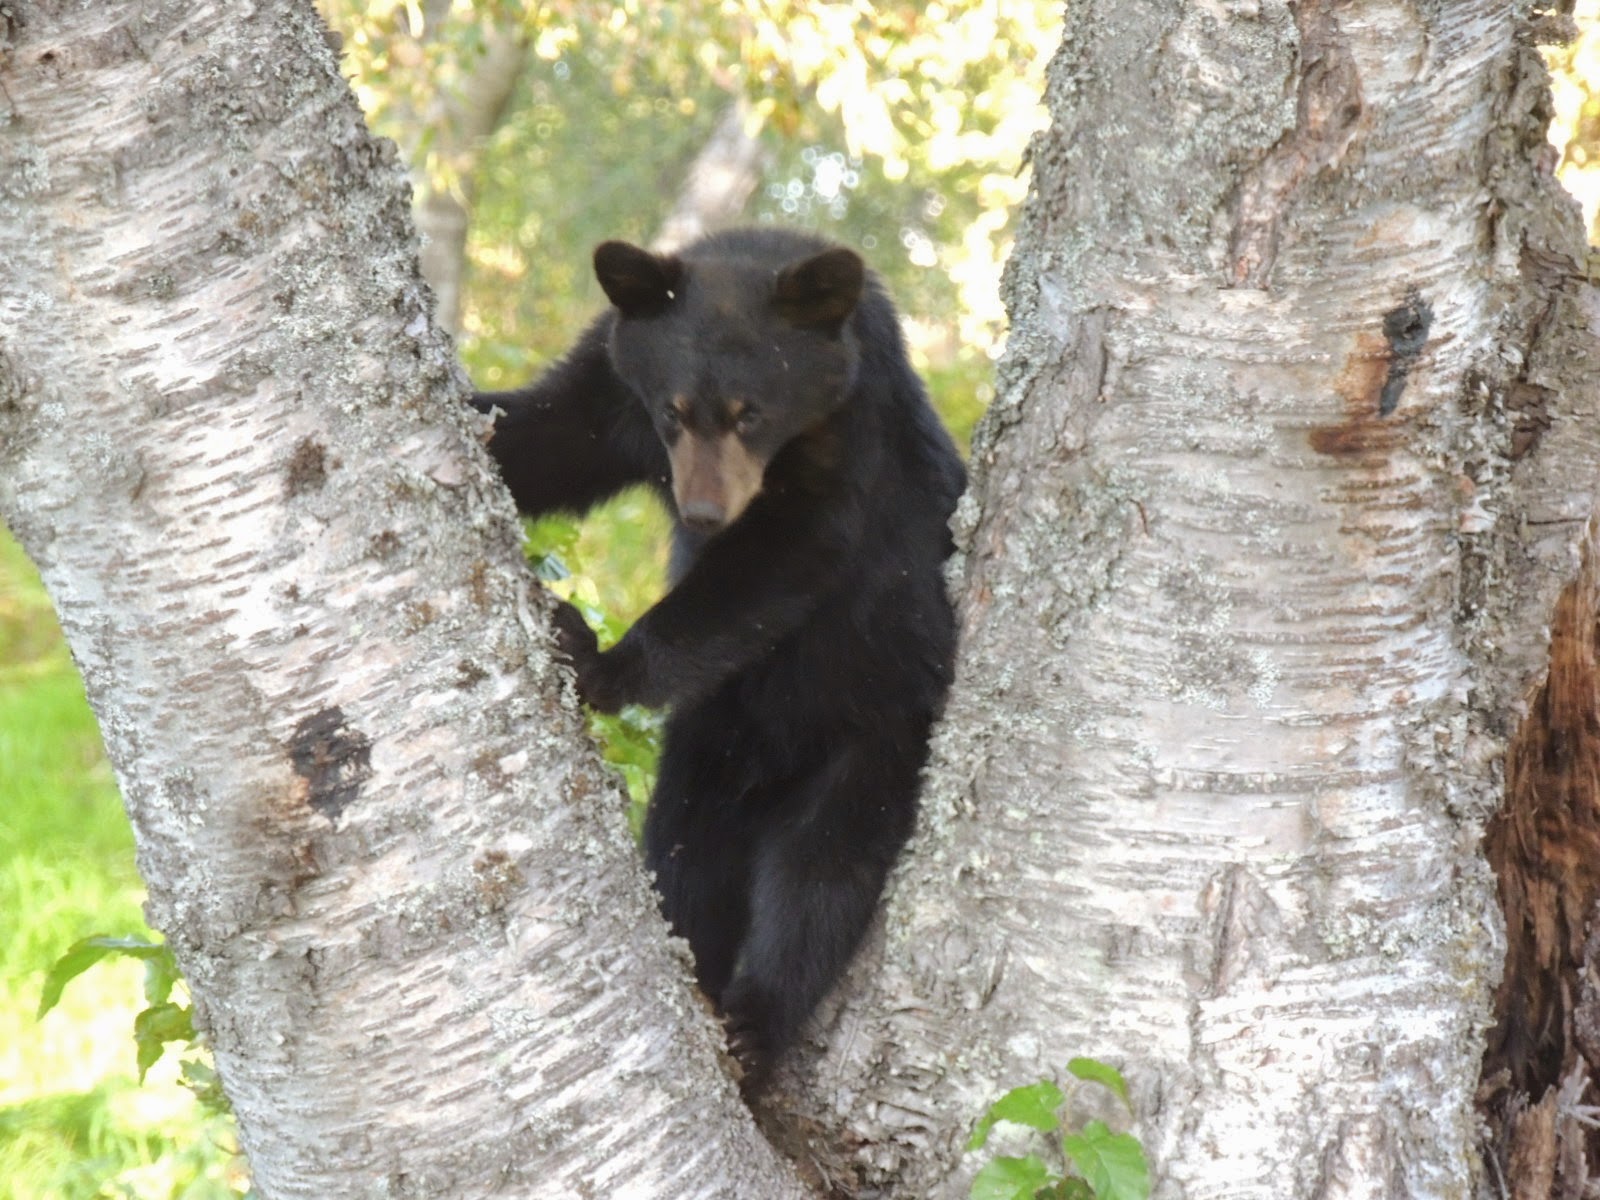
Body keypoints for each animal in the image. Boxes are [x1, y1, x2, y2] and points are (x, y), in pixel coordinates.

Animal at [471, 226, 965, 1090]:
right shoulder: (612, 388)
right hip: (715, 741)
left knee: (824, 869)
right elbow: (544, 437)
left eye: (751, 411)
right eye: (673, 411)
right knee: (688, 847)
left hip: (882, 727)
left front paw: (598, 660)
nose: (703, 511)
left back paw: (755, 1020)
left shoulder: (856, 441)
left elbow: (780, 561)